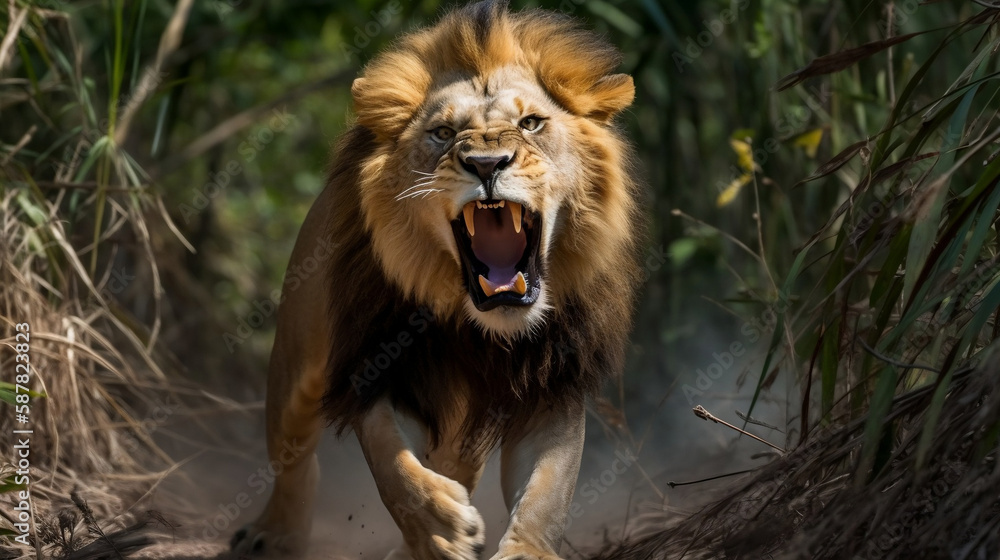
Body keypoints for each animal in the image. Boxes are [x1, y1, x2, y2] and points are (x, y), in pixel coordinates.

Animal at [229, 1, 645, 558]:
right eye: (443, 134)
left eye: (531, 123)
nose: (487, 164)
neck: (485, 327)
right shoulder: (377, 363)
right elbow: (392, 461)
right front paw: (437, 527)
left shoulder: (553, 381)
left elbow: (548, 490)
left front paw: (522, 548)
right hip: (295, 367)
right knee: (293, 458)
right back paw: (273, 535)